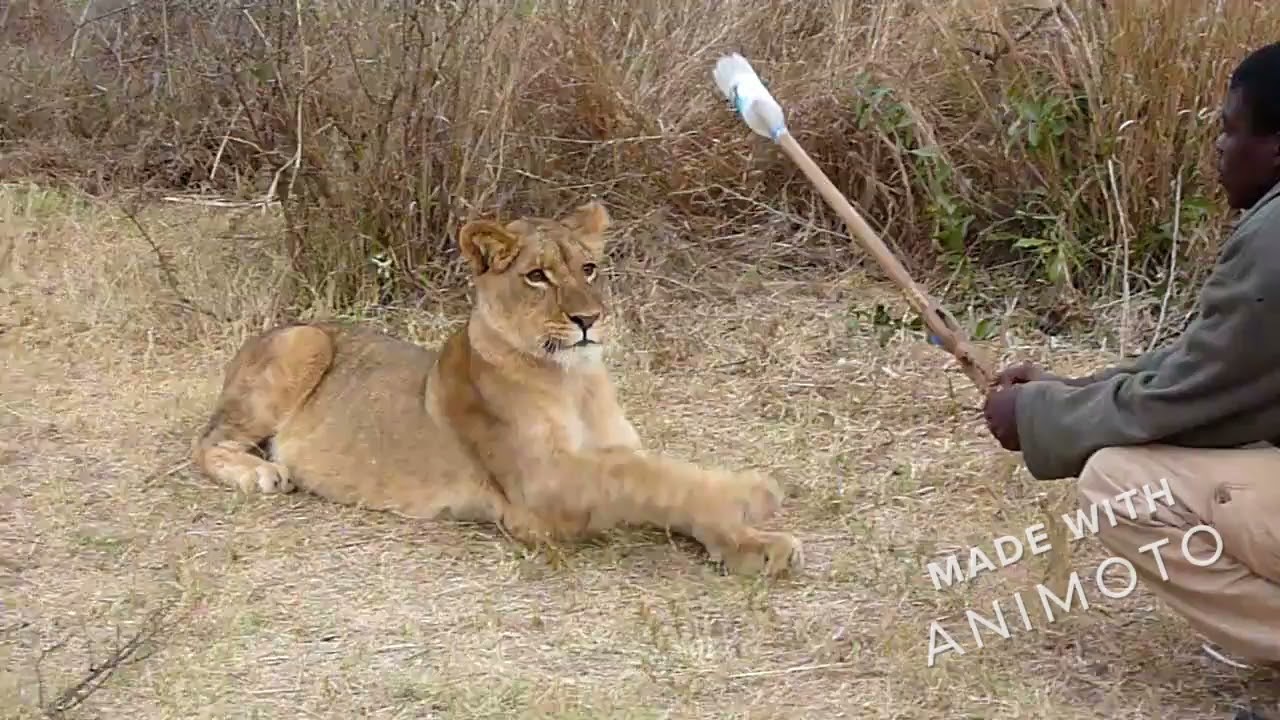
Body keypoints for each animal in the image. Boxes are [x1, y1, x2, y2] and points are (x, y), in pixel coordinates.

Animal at [190, 201, 803, 576]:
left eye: (589, 268)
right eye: (537, 276)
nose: (590, 319)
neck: (574, 379)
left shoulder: (597, 459)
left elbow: (661, 484)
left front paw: (753, 545)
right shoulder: (538, 493)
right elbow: (653, 476)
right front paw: (750, 493)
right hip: (306, 342)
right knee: (207, 440)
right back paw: (261, 472)